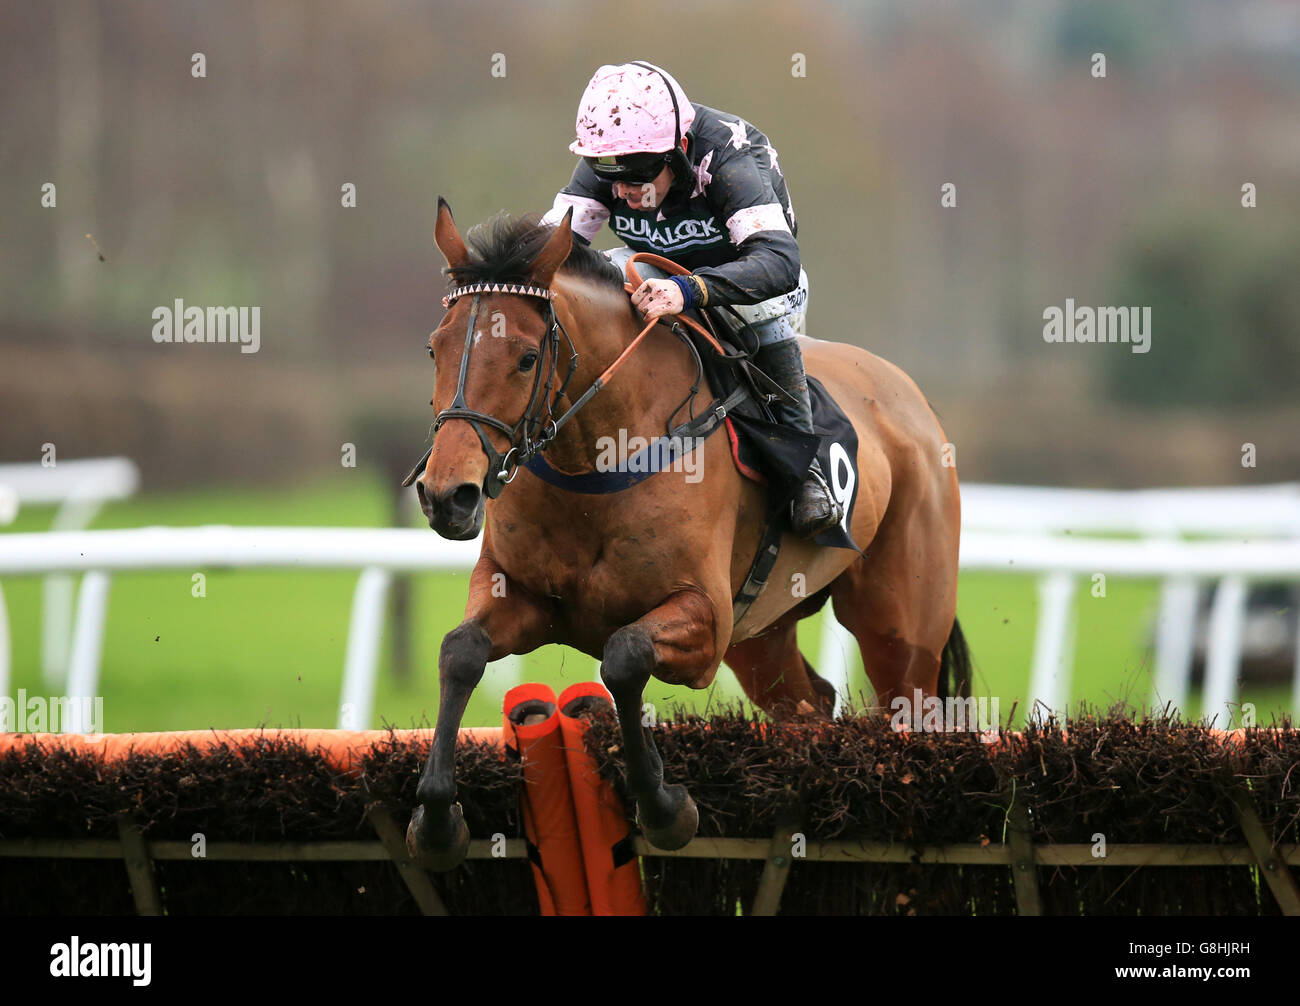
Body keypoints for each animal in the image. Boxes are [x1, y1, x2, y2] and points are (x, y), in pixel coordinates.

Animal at [405, 198, 969, 868]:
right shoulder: (518, 591)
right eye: (434, 349)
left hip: (899, 627)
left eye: (524, 357)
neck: (595, 462)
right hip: (762, 636)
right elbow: (460, 651)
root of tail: (911, 400)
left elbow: (623, 657)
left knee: (908, 707)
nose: (448, 495)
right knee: (811, 701)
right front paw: (436, 820)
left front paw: (664, 806)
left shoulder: (703, 619)